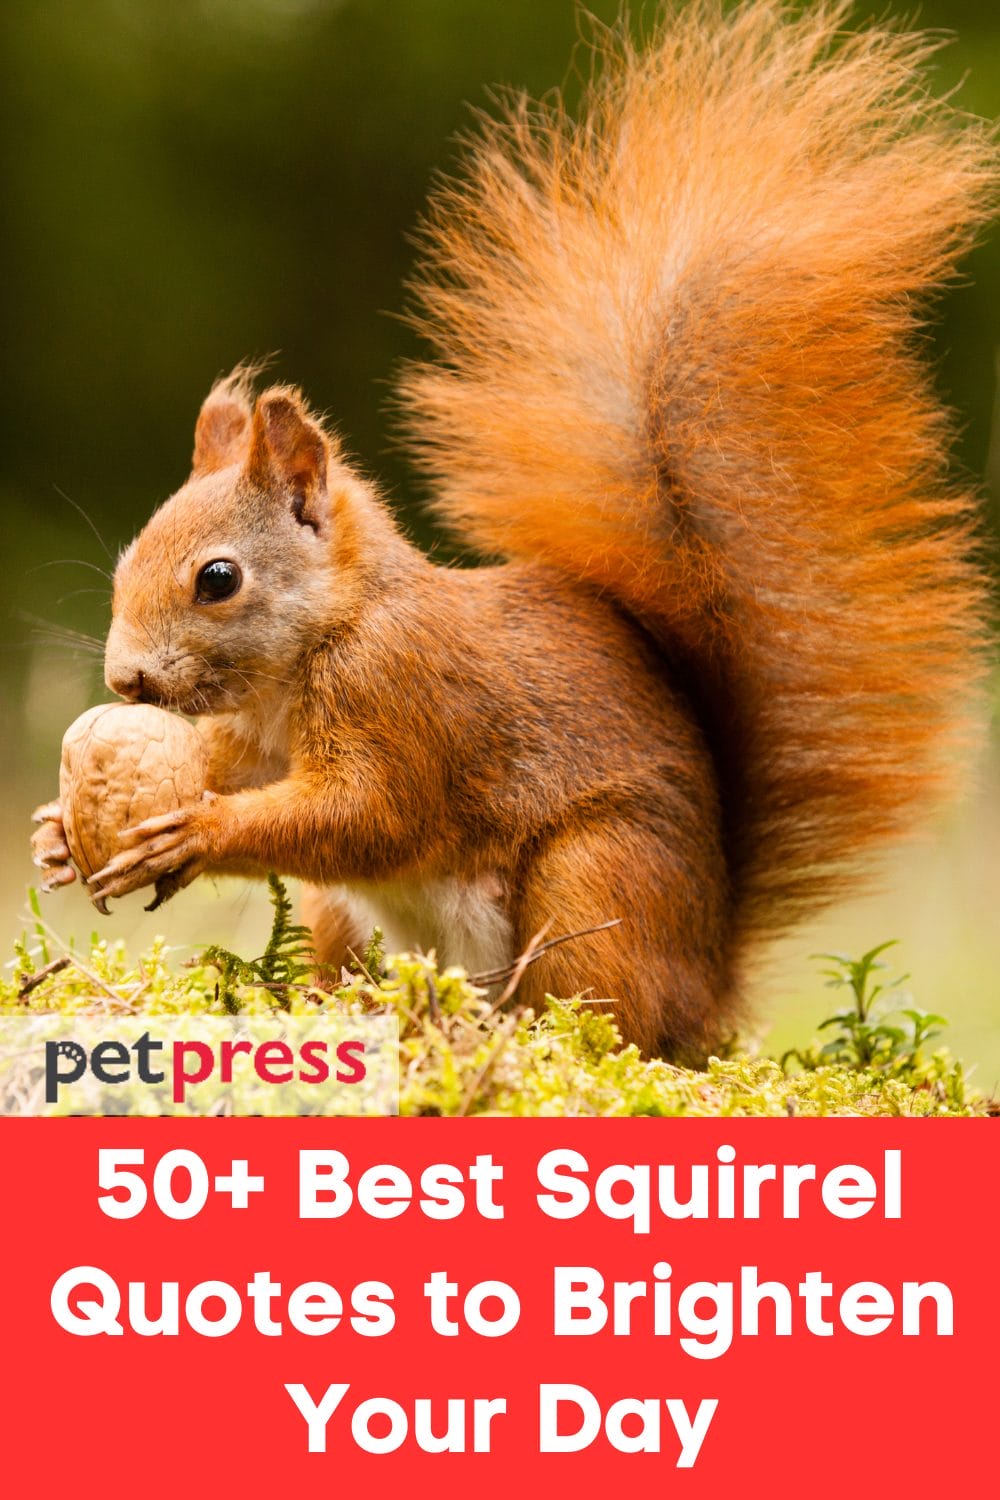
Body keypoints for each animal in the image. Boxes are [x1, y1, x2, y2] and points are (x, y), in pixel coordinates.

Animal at [31, 0, 997, 1058]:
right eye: (127, 560)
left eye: (218, 579)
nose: (125, 680)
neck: (320, 643)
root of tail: (709, 986)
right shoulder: (253, 739)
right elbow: (231, 770)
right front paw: (54, 830)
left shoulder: (403, 700)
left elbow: (367, 817)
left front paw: (196, 831)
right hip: (351, 918)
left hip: (596, 880)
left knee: (602, 1016)